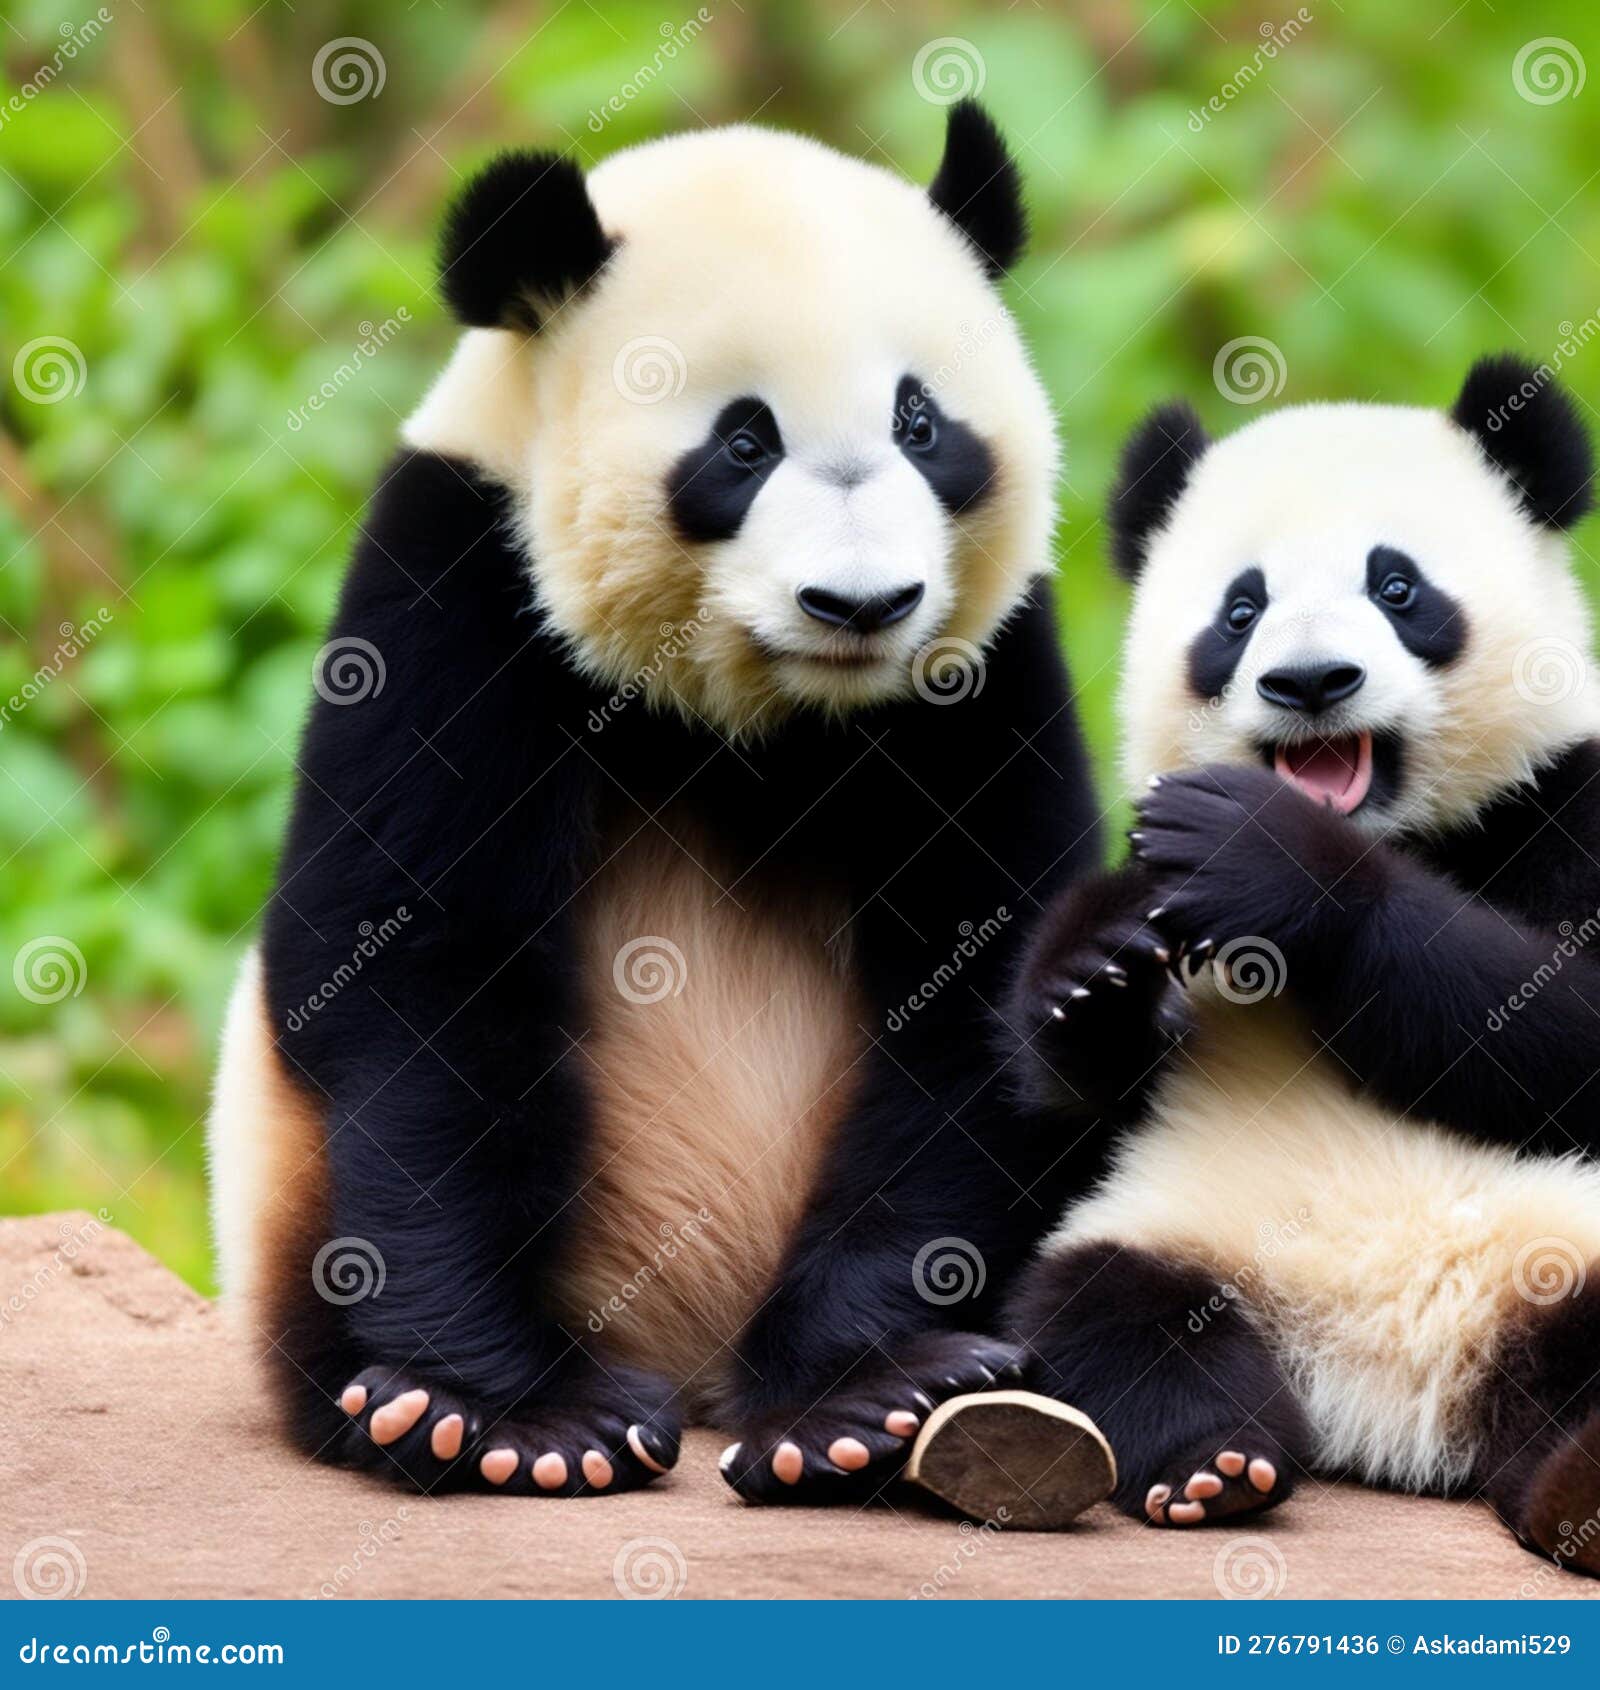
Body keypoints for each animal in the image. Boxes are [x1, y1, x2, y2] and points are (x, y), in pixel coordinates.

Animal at [207, 104, 1107, 1505]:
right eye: (744, 443)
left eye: (921, 425)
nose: (862, 605)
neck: (756, 714)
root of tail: (691, 1364)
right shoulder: (459, 578)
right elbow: (416, 965)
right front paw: (509, 1415)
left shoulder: (982, 665)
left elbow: (986, 981)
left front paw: (864, 1392)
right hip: (285, 1178)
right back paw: (415, 1409)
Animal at [934, 358, 1600, 1570]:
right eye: (1238, 612)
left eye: (1398, 587)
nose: (1310, 681)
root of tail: (1386, 1394)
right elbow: (1065, 1107)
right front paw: (1098, 970)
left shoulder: (1567, 795)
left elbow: (1565, 1030)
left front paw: (1275, 858)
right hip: (1177, 1227)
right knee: (1108, 1312)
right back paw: (1218, 1463)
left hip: (1558, 1234)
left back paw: (1583, 1488)